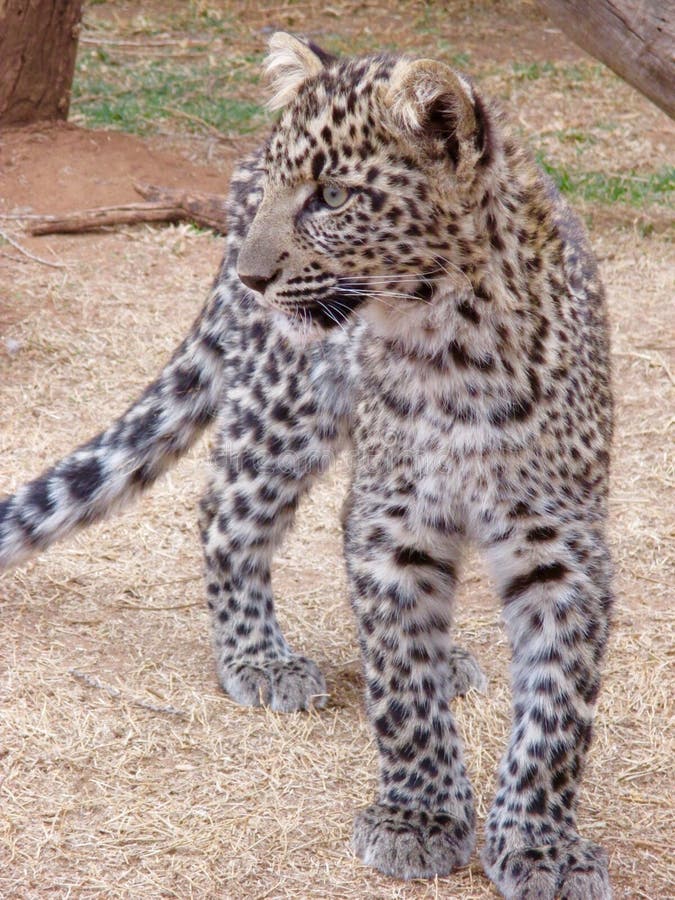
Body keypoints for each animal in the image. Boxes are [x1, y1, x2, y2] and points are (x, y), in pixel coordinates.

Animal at [0, 33, 614, 899]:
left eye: (330, 196)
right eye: (291, 191)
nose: (255, 277)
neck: (453, 348)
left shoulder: (561, 546)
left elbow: (557, 713)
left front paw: (540, 844)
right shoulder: (392, 526)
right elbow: (402, 689)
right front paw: (418, 817)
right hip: (285, 401)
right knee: (225, 511)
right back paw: (257, 658)